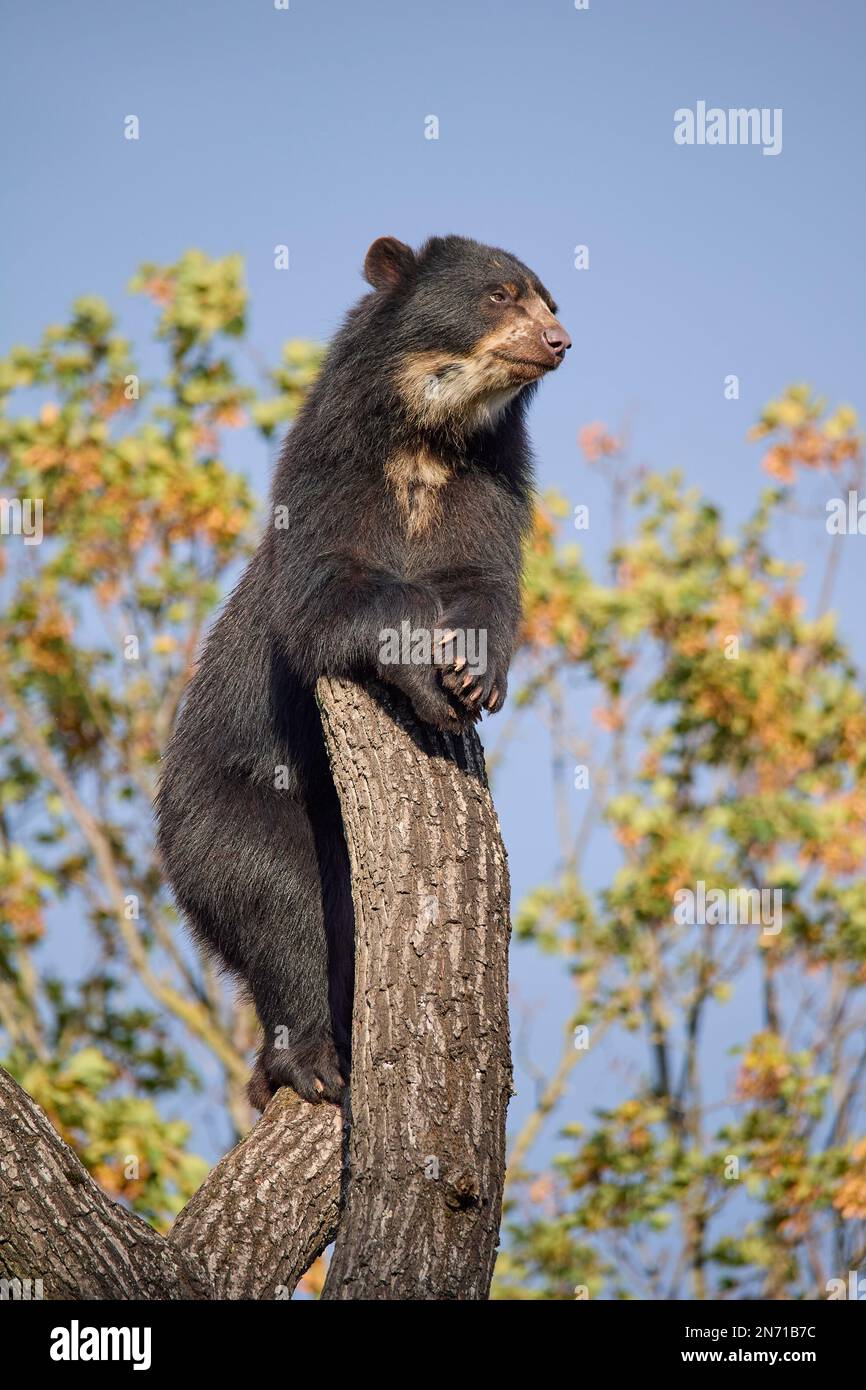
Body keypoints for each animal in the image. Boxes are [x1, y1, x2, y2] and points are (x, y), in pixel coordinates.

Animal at [155, 235, 570, 1110]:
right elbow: (327, 597)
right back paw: (310, 1063)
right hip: (227, 811)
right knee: (285, 905)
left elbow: (482, 583)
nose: (559, 342)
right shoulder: (326, 481)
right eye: (500, 294)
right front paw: (428, 681)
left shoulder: (486, 491)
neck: (426, 440)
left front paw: (474, 677)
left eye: (549, 299)